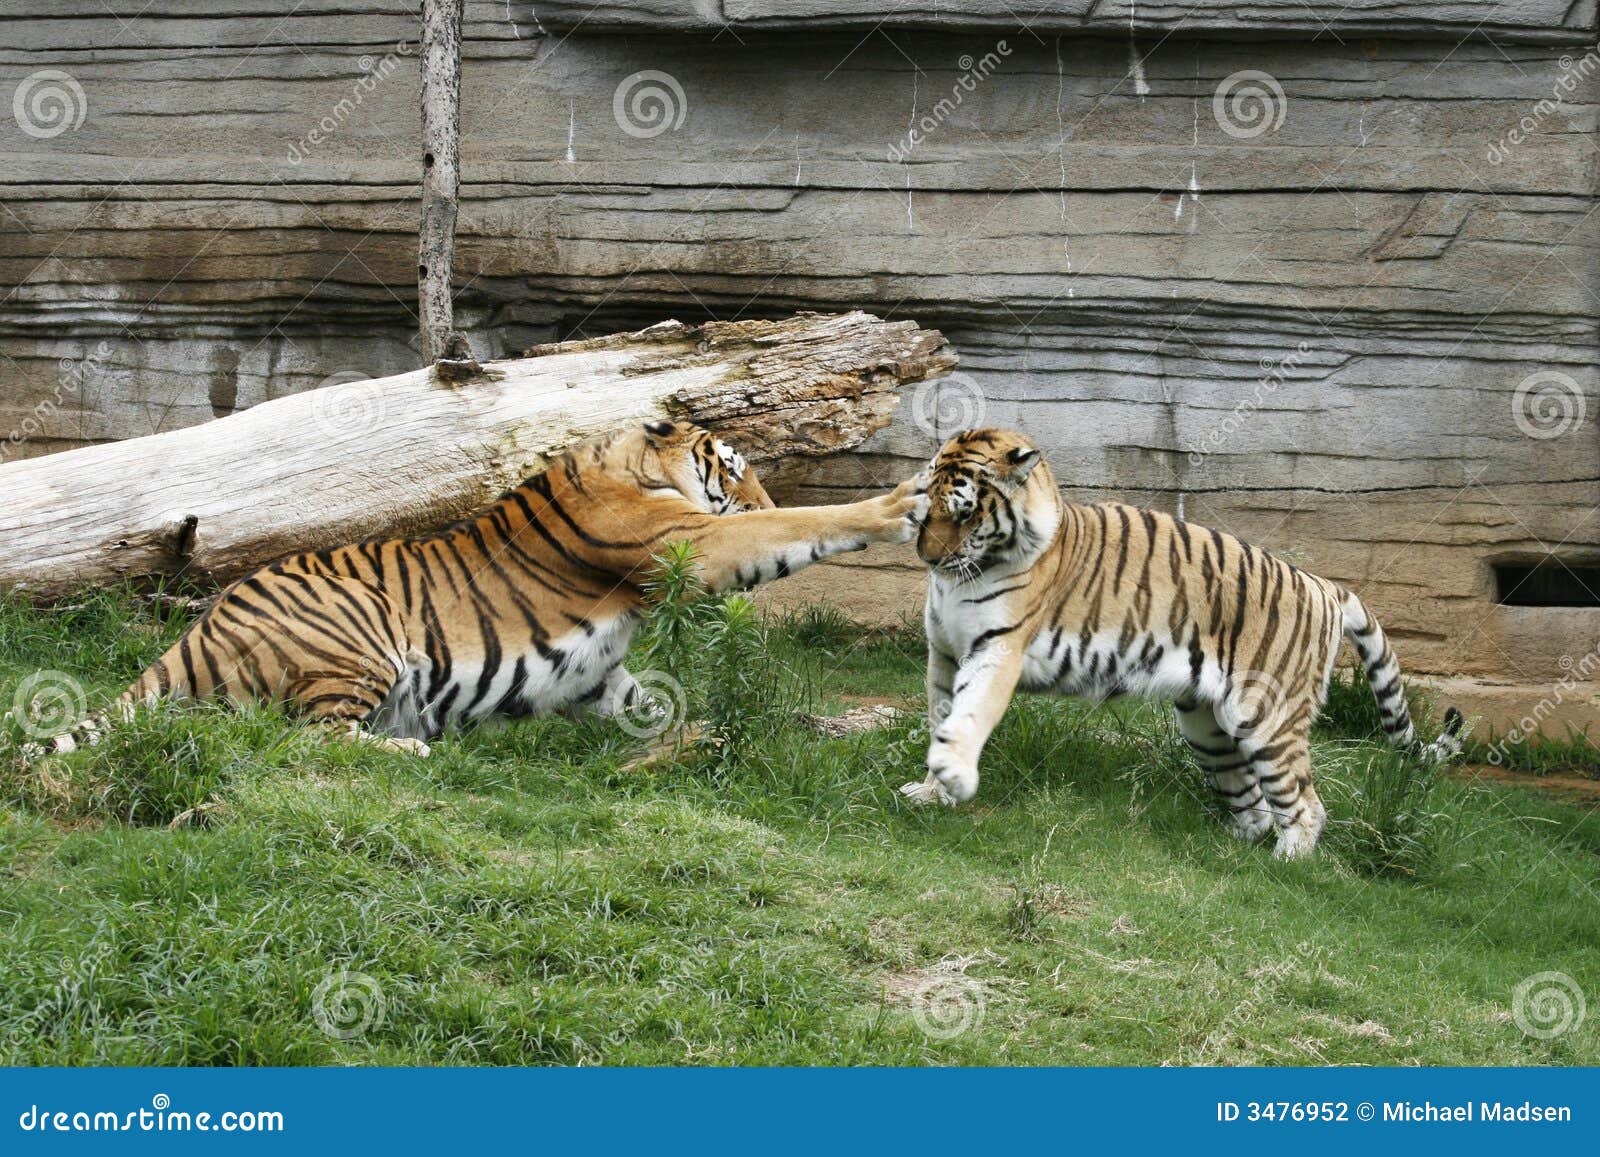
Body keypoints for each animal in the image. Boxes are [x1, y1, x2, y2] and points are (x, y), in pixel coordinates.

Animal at [29, 420, 928, 758]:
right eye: (734, 470)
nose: (761, 493)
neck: (623, 461)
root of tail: (196, 633)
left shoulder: (601, 678)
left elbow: (666, 708)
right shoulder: (690, 544)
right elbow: (798, 529)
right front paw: (899, 503)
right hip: (357, 634)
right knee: (305, 740)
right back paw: (409, 748)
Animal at [897, 428, 1462, 858]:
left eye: (966, 513)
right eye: (927, 505)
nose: (927, 557)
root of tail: (1325, 585)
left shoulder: (997, 649)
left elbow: (968, 715)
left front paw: (952, 776)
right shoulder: (943, 653)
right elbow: (942, 714)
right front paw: (930, 792)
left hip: (1268, 714)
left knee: (1304, 803)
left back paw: (1288, 861)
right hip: (1208, 725)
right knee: (1254, 802)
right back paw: (1225, 847)